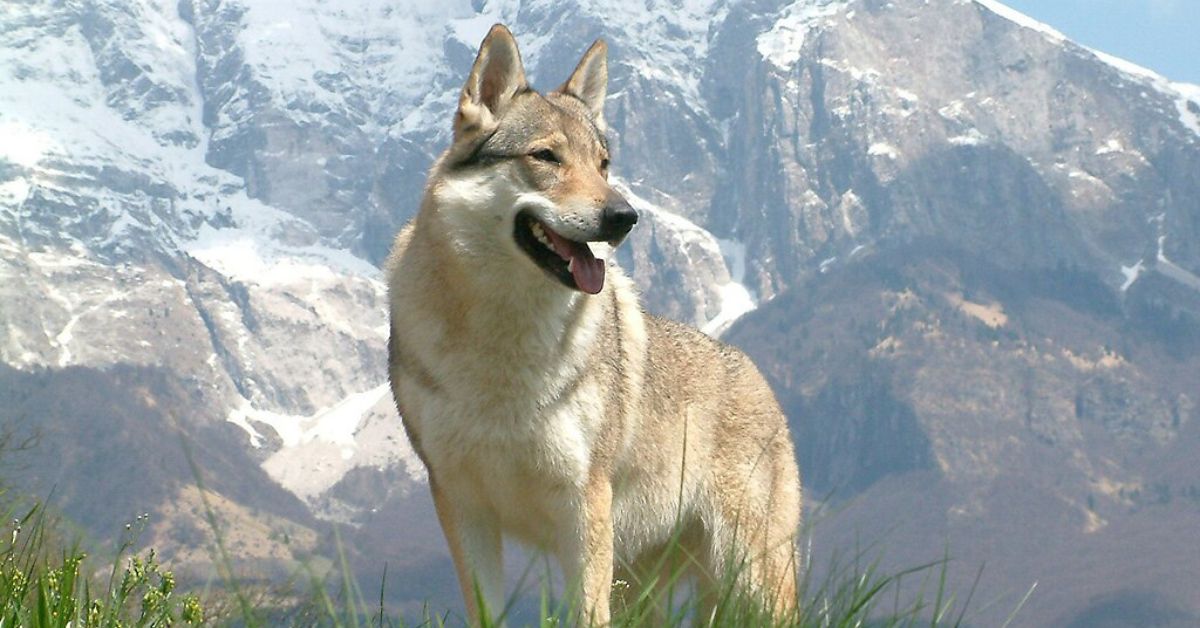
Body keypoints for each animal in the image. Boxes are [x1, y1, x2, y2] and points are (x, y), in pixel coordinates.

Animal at [386, 24, 802, 626]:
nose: (625, 217)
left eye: (603, 164)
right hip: (647, 584)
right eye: (546, 156)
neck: (503, 340)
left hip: (747, 578)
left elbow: (586, 612)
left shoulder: (583, 505)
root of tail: (756, 376)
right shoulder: (462, 505)